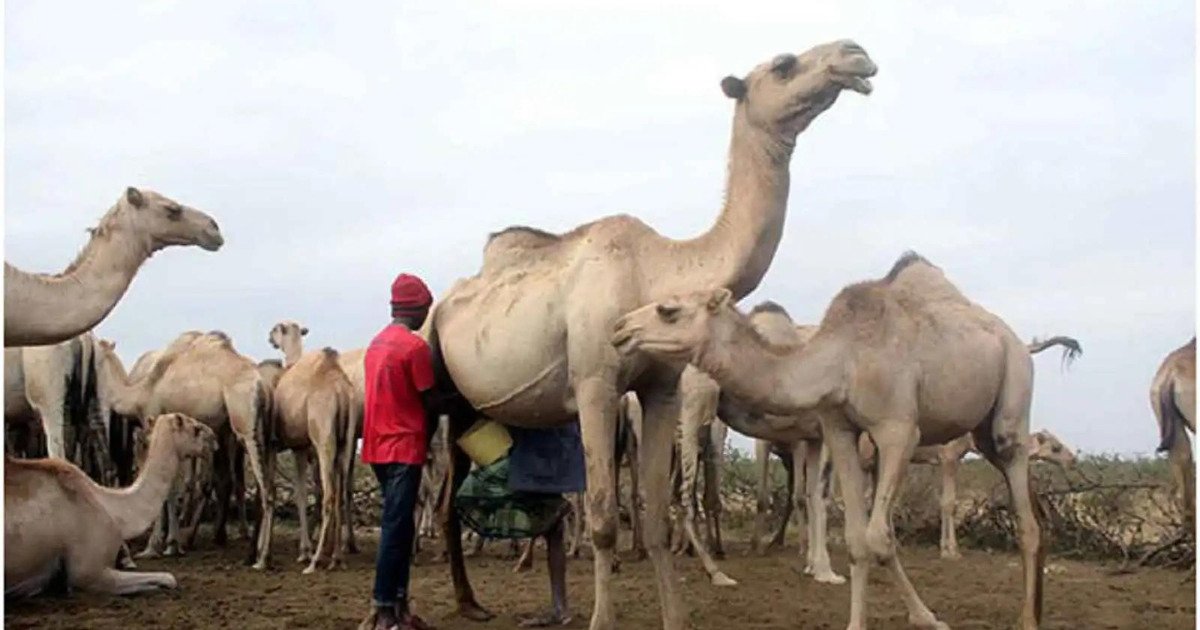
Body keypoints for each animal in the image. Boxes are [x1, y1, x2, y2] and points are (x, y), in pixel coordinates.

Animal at [94, 331, 274, 569]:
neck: (141, 393)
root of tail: (263, 386)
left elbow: (167, 487)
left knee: (265, 489)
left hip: (245, 423)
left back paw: (261, 558)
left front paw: (157, 546)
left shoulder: (154, 423)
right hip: (258, 431)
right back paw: (246, 550)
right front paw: (172, 544)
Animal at [265, 320, 357, 574]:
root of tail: (340, 391)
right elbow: (302, 492)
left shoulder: (296, 447)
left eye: (275, 329)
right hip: (346, 441)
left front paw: (305, 552)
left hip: (324, 437)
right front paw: (306, 550)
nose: (269, 338)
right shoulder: (302, 447)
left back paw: (316, 562)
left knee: (329, 495)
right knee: (340, 491)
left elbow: (301, 493)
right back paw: (336, 557)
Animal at [423, 41, 876, 629]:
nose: (855, 54)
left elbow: (658, 512)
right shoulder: (595, 382)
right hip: (433, 383)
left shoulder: (662, 389)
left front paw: (675, 616)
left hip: (476, 406)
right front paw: (601, 620)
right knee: (438, 495)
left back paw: (472, 600)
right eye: (783, 64)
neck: (658, 270)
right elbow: (601, 516)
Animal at [612, 252, 1050, 630]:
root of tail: (1016, 341)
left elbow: (875, 534)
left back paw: (1028, 620)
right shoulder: (839, 429)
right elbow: (857, 537)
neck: (841, 358)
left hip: (1011, 398)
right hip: (983, 431)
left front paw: (927, 617)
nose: (619, 330)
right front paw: (856, 616)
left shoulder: (898, 431)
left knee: (1025, 512)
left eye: (668, 310)